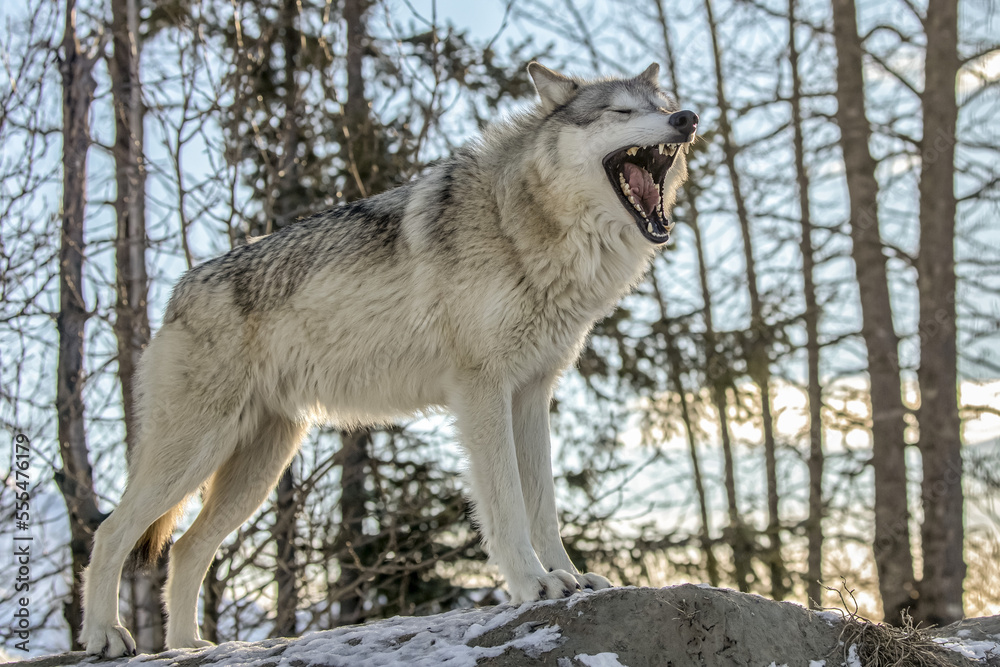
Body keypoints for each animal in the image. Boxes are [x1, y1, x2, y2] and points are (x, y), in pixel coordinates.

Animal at [80, 62, 698, 656]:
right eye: (622, 112)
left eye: (662, 105)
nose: (687, 119)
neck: (521, 221)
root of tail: (176, 294)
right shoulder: (482, 389)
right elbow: (506, 503)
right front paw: (534, 584)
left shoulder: (530, 394)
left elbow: (543, 504)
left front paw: (570, 578)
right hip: (197, 451)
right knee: (111, 532)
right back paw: (106, 636)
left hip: (258, 467)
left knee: (186, 548)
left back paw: (188, 646)